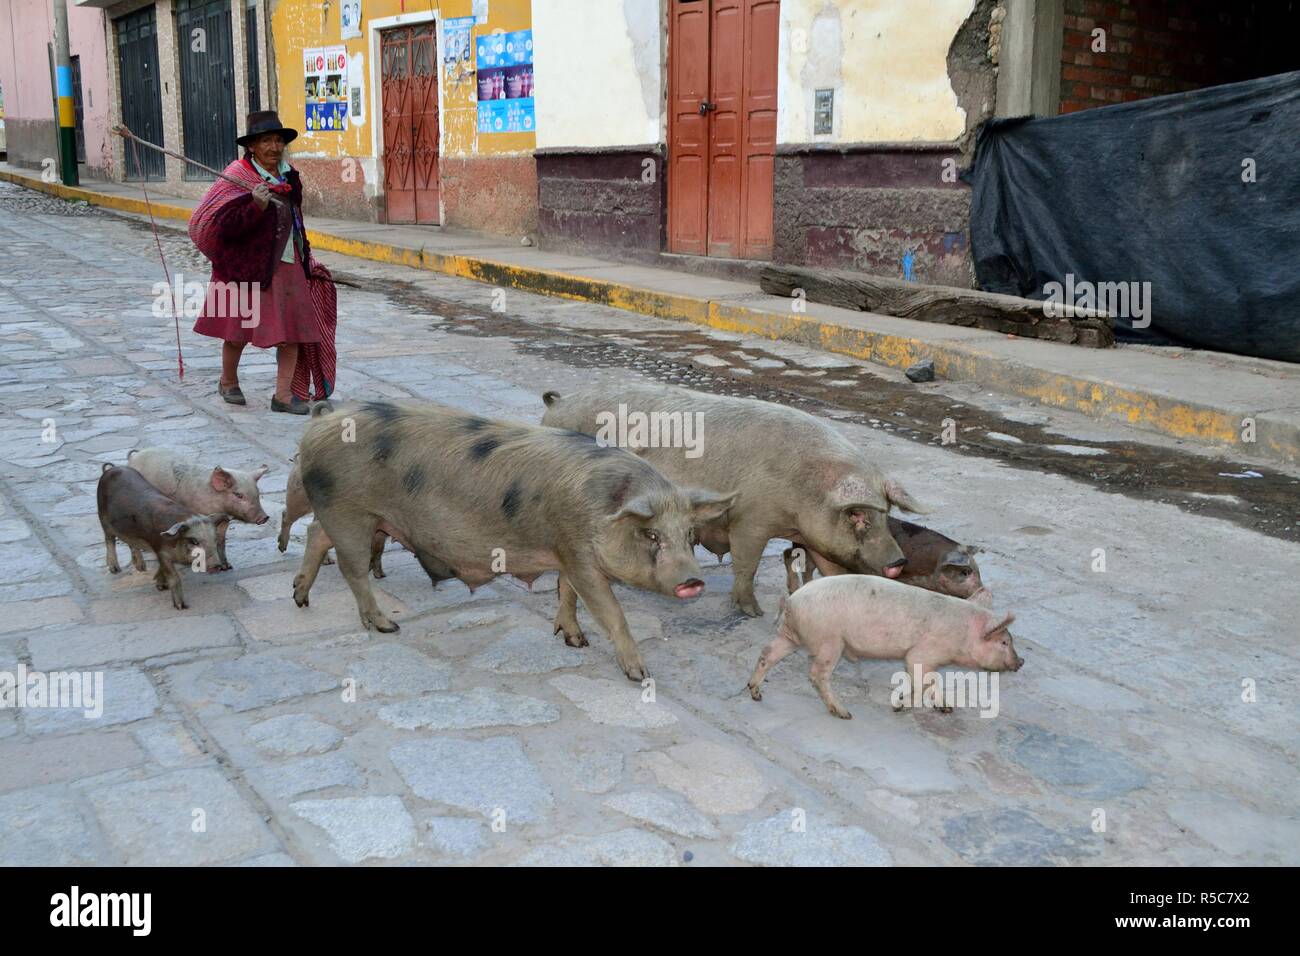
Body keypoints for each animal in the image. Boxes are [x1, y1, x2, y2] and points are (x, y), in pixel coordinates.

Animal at [97, 464, 223, 610]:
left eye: (215, 539)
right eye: (194, 541)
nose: (217, 565)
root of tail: (111, 468)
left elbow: (162, 569)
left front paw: (161, 586)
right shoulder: (160, 550)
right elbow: (174, 577)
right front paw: (181, 606)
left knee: (131, 543)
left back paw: (141, 568)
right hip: (103, 517)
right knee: (109, 540)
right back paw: (115, 569)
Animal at [127, 447, 269, 571]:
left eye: (257, 493)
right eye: (239, 495)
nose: (264, 517)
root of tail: (135, 455)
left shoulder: (224, 521)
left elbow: (221, 541)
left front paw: (227, 567)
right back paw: (141, 567)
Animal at [291, 400, 738, 681]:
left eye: (690, 534)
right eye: (651, 534)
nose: (693, 581)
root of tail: (322, 421)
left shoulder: (564, 549)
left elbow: (567, 593)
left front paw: (575, 641)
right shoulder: (579, 554)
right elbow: (610, 611)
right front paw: (640, 674)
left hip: (347, 515)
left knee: (315, 535)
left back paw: (300, 598)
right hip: (350, 511)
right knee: (351, 568)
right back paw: (385, 625)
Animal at [540, 384, 927, 617]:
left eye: (886, 514)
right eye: (858, 516)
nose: (898, 561)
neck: (804, 491)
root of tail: (558, 402)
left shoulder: (813, 535)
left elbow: (829, 569)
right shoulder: (750, 519)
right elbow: (746, 564)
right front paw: (751, 612)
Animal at [747, 575, 1023, 719]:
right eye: (1004, 642)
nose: (1021, 662)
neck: (962, 635)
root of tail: (791, 600)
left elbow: (934, 681)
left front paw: (947, 709)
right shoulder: (921, 653)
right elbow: (924, 680)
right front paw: (899, 705)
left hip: (791, 635)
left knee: (767, 653)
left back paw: (756, 693)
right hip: (829, 640)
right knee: (817, 675)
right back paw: (844, 713)